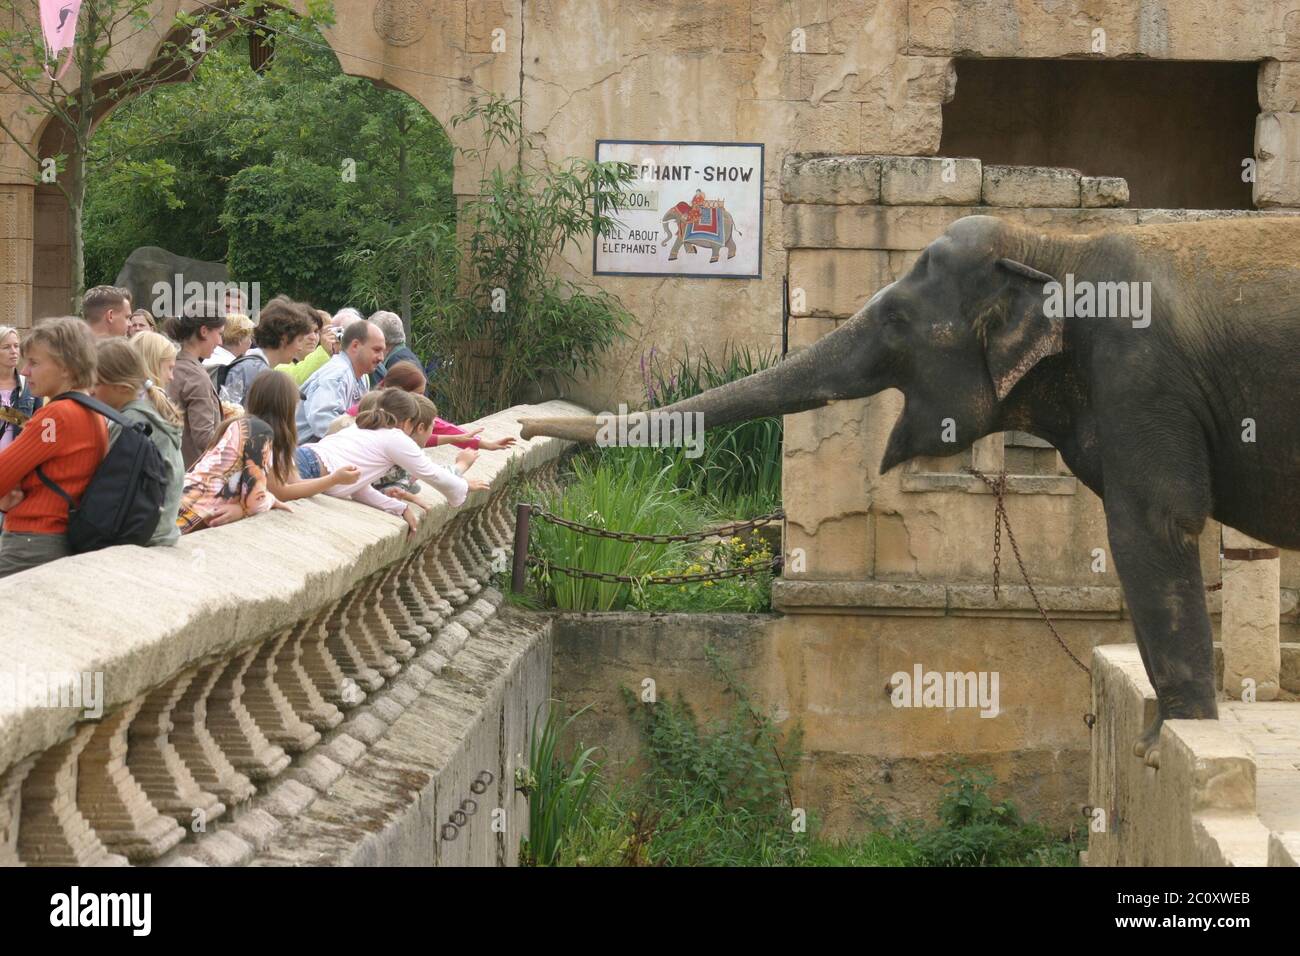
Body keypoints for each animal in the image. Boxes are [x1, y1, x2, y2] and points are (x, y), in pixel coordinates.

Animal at [520, 214, 1300, 768]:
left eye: (896, 321)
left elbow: (1155, 525)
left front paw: (1163, 748)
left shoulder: (1142, 381)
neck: (1055, 245)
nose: (529, 425)